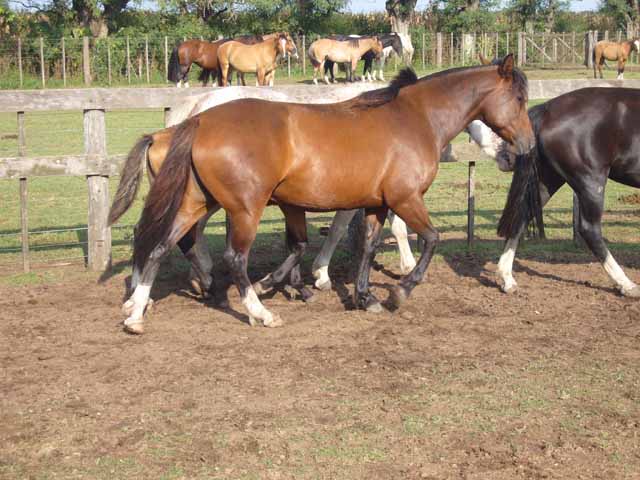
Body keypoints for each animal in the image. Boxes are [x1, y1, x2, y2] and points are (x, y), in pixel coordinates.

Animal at [109, 55, 534, 334]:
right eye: (519, 99)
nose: (524, 148)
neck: (416, 119)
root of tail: (196, 120)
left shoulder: (375, 204)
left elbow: (366, 247)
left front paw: (364, 297)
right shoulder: (405, 199)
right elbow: (430, 238)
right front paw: (398, 292)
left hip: (196, 202)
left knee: (160, 245)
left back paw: (136, 314)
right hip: (244, 209)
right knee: (233, 258)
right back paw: (258, 312)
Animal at [495, 87, 640, 298]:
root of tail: (547, 109)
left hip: (548, 180)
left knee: (521, 217)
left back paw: (507, 279)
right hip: (591, 181)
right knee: (590, 229)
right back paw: (626, 284)